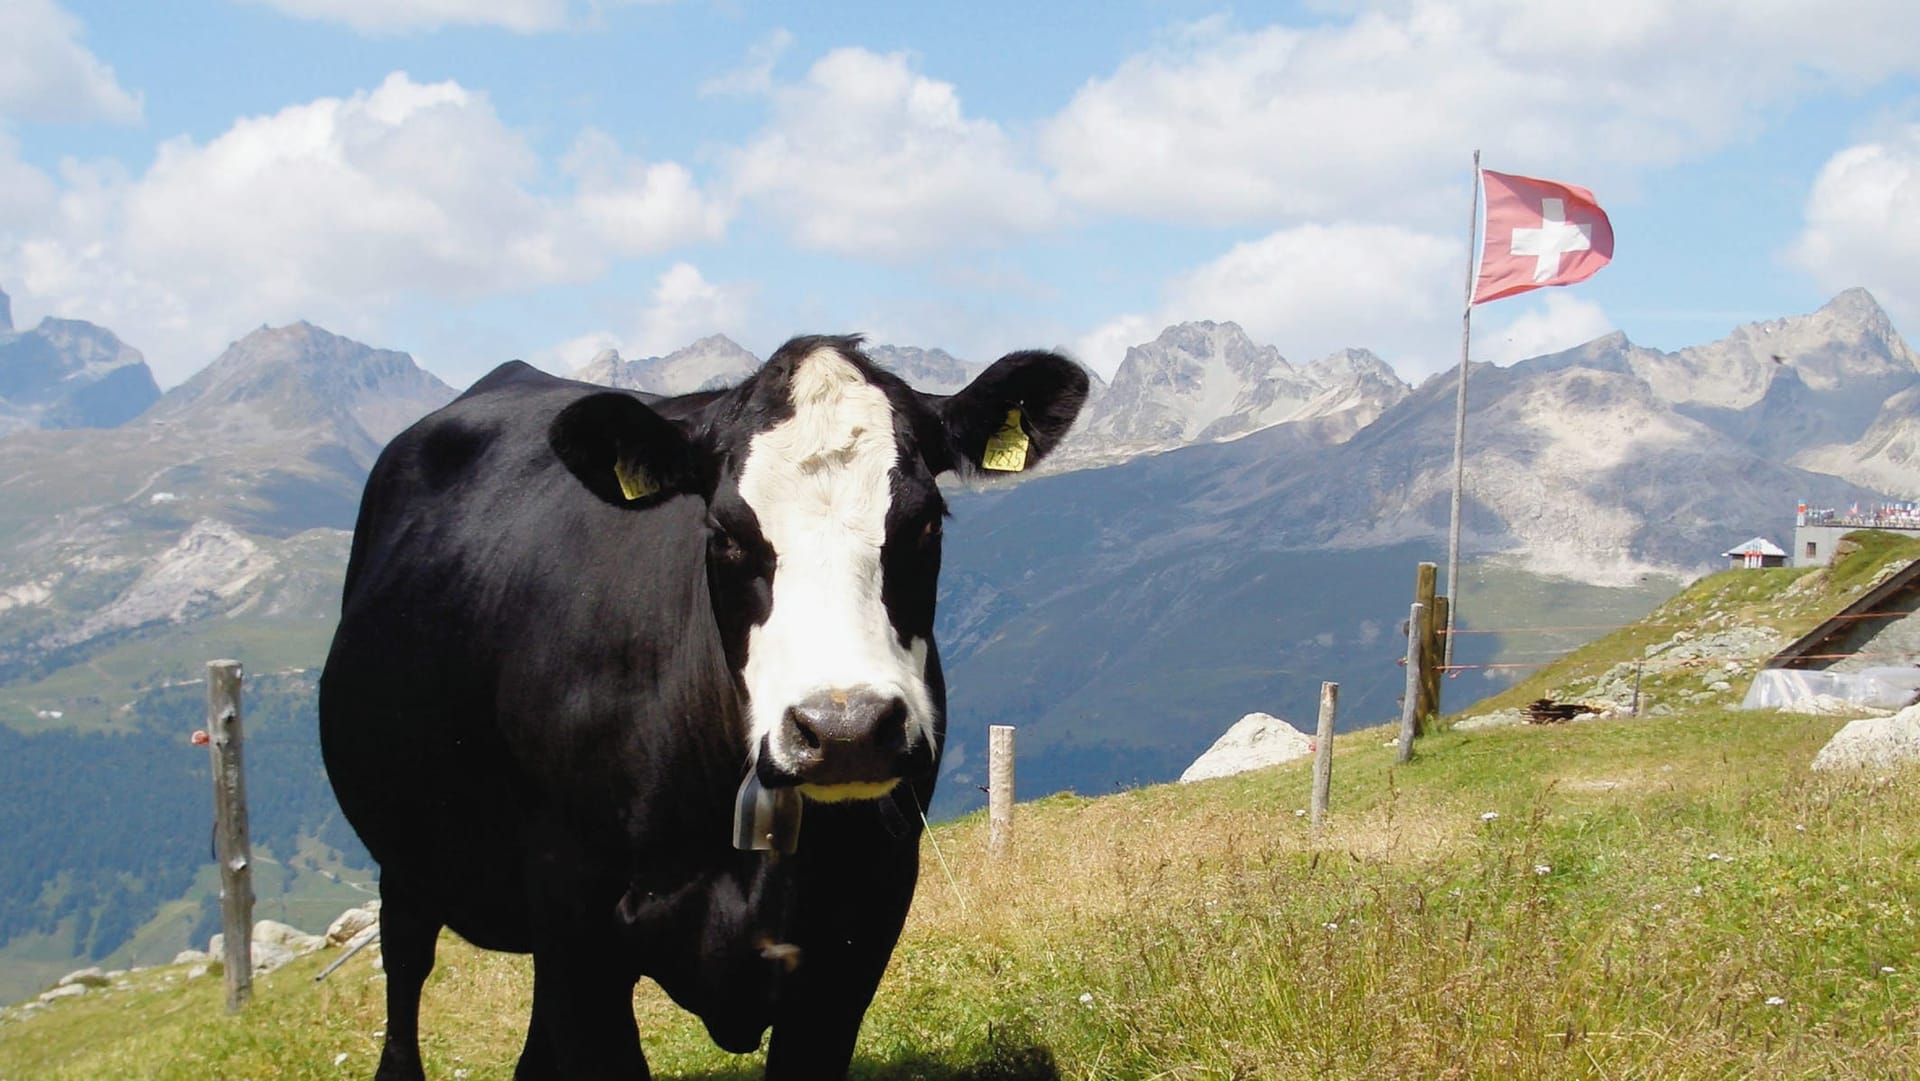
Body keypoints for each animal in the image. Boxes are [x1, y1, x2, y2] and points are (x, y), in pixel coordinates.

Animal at [319, 335, 1088, 1080]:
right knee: (404, 986)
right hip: (405, 864)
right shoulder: (575, 924)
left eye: (927, 521)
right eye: (725, 533)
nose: (845, 730)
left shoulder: (860, 929)